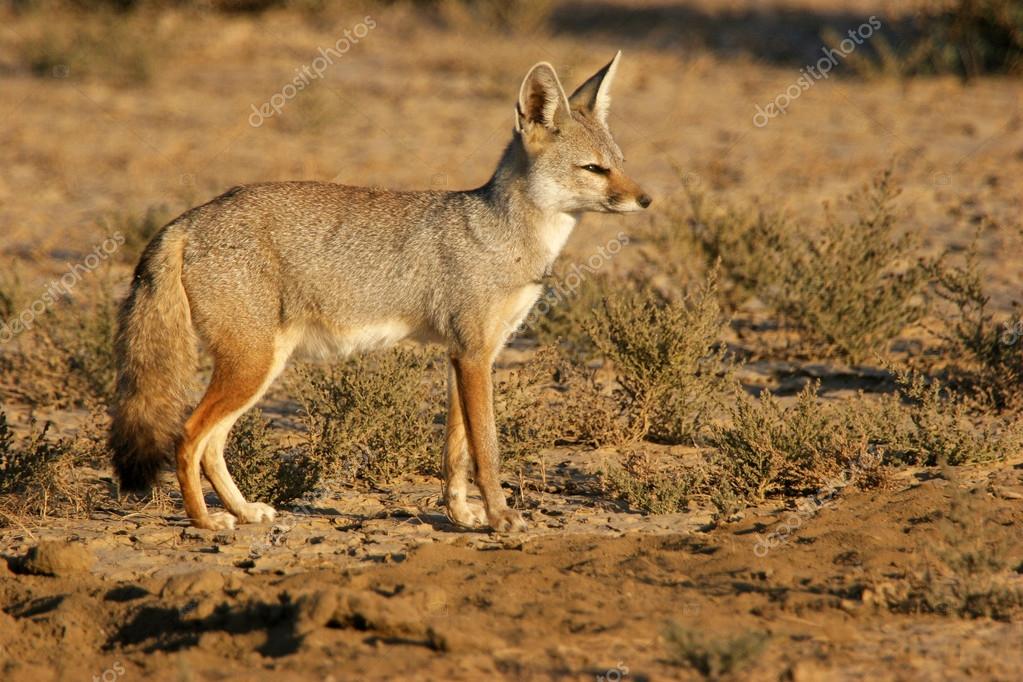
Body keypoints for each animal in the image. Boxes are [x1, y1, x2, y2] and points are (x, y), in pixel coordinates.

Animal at [110, 52, 651, 533]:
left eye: (622, 163)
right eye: (594, 169)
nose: (646, 198)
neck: (503, 235)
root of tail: (189, 218)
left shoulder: (466, 354)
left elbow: (455, 451)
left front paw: (462, 516)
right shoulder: (475, 355)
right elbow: (487, 449)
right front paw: (501, 518)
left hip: (260, 367)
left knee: (213, 445)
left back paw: (242, 512)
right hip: (251, 366)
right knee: (188, 437)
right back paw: (204, 521)